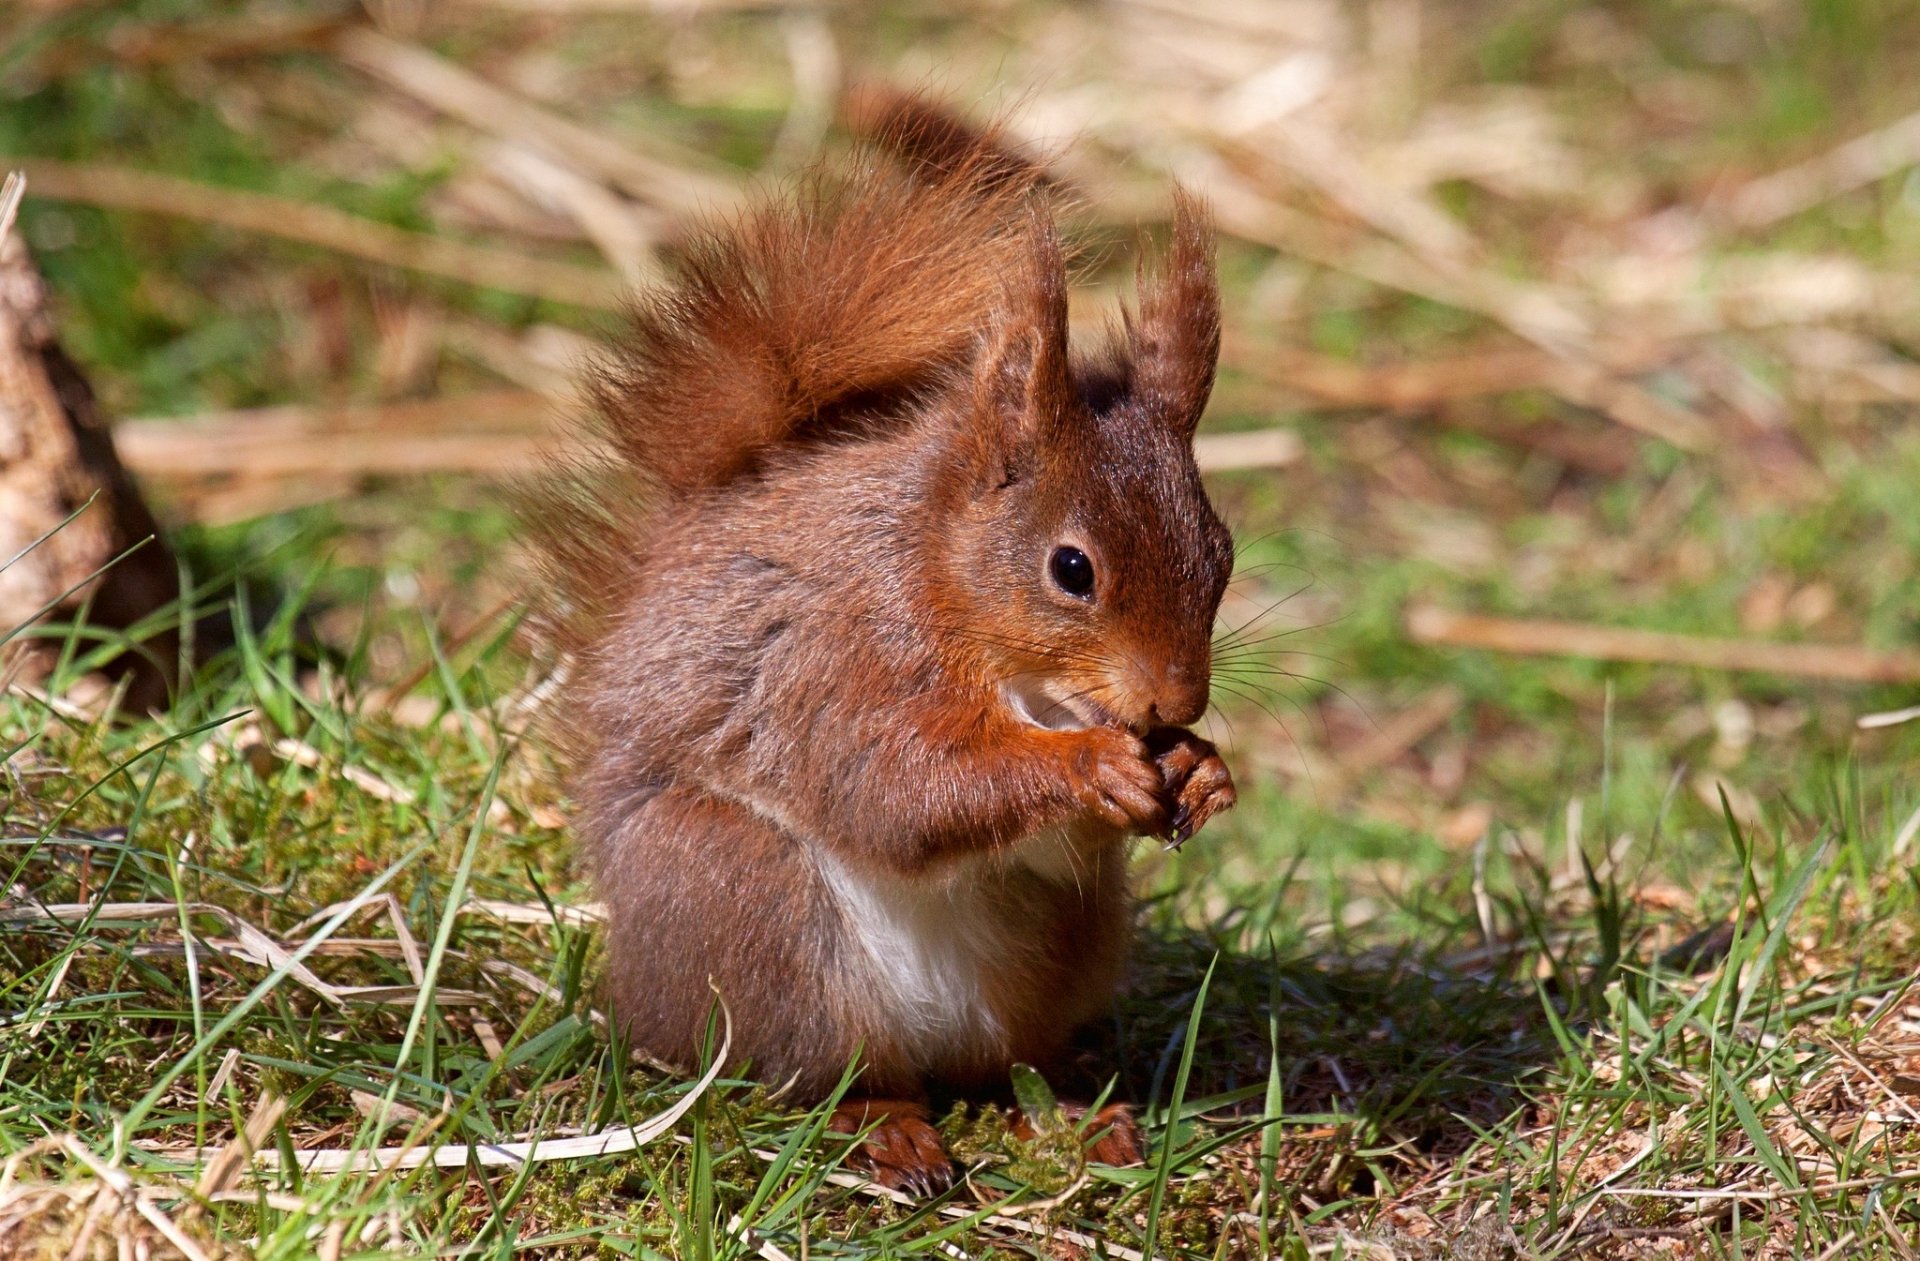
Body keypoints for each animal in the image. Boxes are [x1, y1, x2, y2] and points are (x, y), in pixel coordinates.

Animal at [533, 93, 1238, 1194]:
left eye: (1223, 553)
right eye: (1071, 568)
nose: (1178, 703)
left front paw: (1202, 771)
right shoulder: (834, 661)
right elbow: (894, 786)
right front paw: (1088, 764)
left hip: (1056, 949)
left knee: (1012, 1064)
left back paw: (1079, 1115)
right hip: (753, 911)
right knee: (824, 1073)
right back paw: (889, 1129)